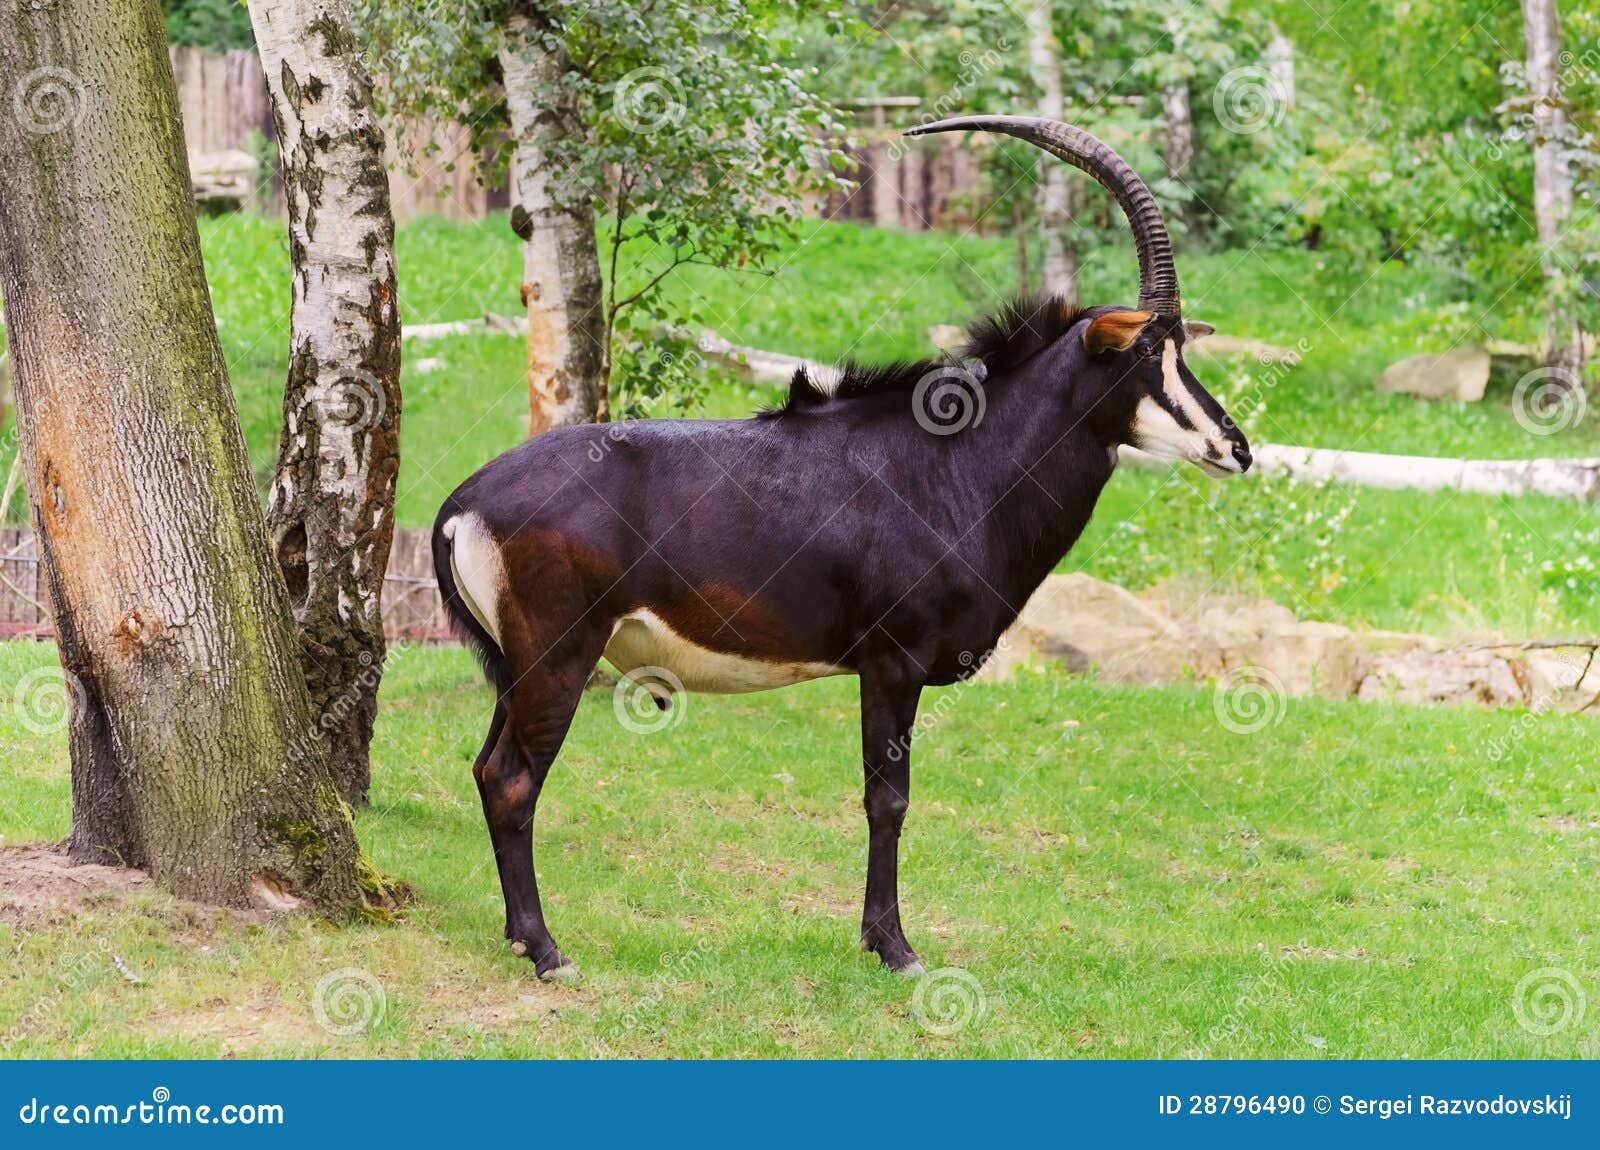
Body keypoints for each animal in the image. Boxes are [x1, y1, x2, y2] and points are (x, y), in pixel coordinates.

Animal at [433, 116, 1252, 980]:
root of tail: (462, 505)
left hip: (518, 667)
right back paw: (547, 950)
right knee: (514, 781)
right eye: (1145, 354)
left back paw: (519, 934)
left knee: (488, 771)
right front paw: (894, 946)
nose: (1236, 449)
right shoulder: (894, 662)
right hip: (558, 655)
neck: (958, 461)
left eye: (1182, 346)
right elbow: (886, 798)